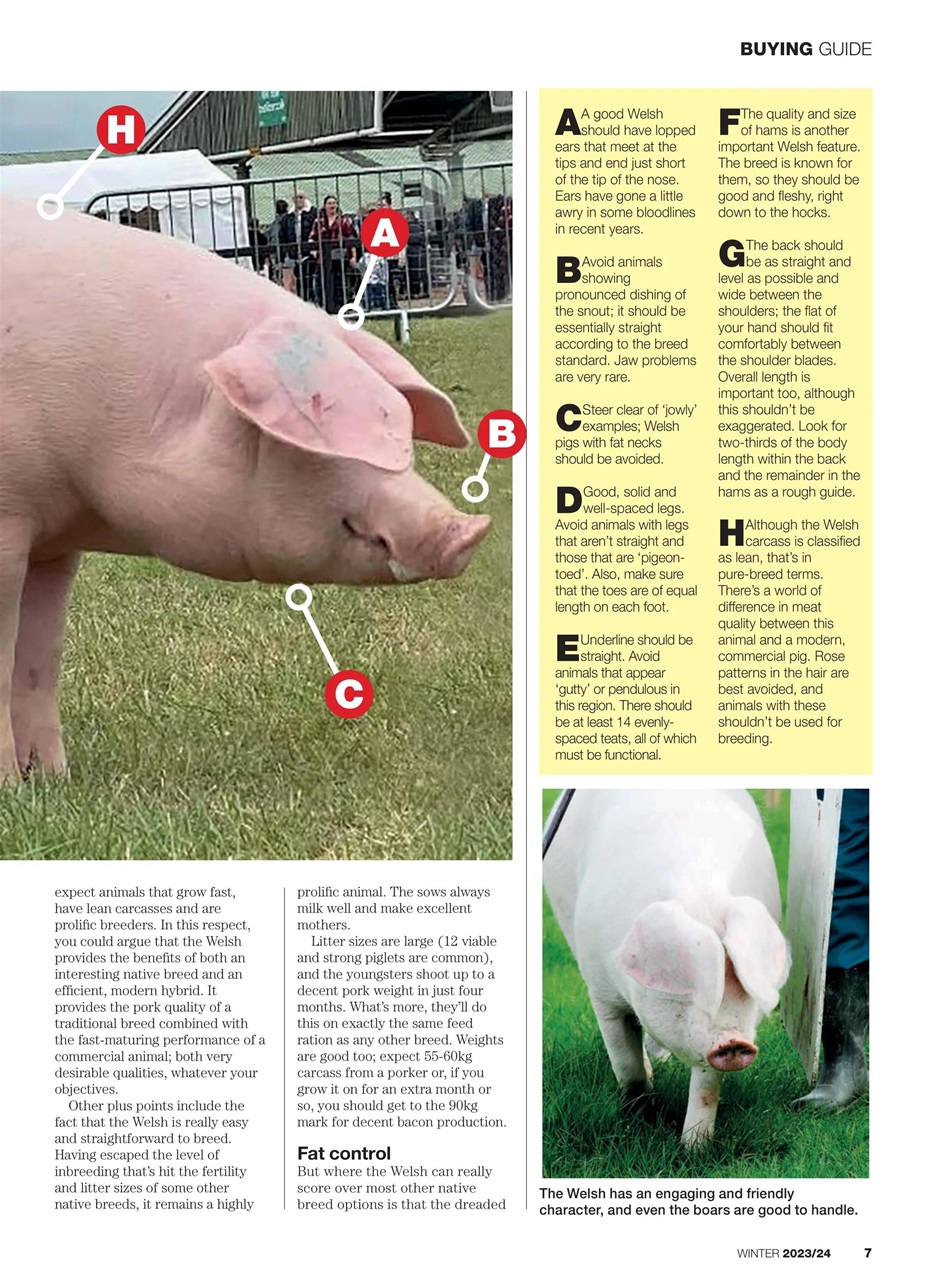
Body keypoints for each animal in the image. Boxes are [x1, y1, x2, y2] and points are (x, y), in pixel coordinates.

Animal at [0, 196, 490, 780]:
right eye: (318, 438)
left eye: (399, 428)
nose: (468, 530)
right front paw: (13, 786)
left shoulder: (55, 542)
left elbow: (39, 657)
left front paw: (54, 780)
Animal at [544, 790, 790, 1145]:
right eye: (685, 983)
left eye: (740, 982)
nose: (734, 1042)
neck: (702, 899)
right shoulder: (602, 992)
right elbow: (625, 1064)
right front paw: (638, 1115)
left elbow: (706, 1087)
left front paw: (694, 1147)